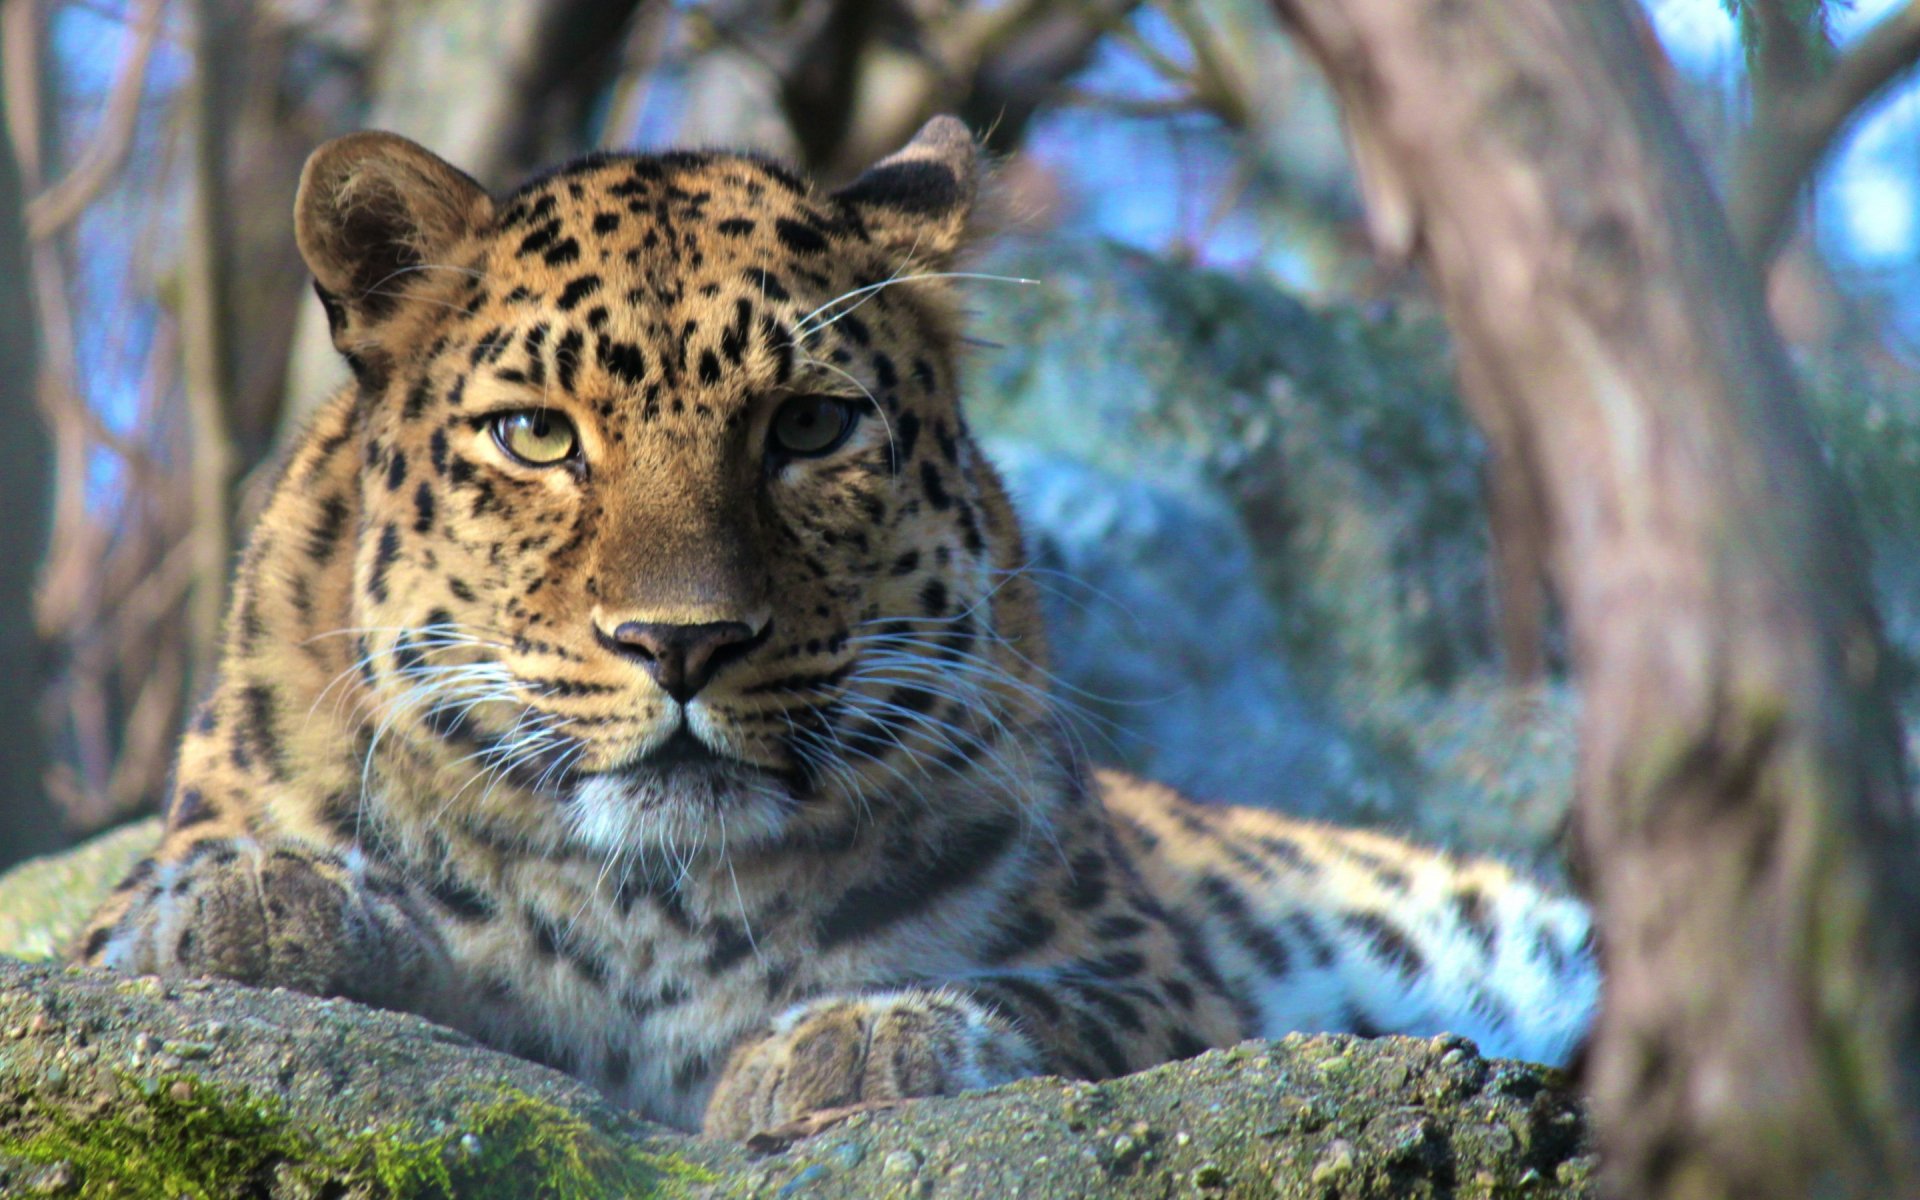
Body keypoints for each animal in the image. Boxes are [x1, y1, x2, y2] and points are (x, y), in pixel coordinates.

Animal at [74, 116, 1597, 1140]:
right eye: (536, 435)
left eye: (807, 428)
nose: (681, 643)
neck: (650, 906)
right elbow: (180, 908)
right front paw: (270, 899)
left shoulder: (1169, 976)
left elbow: (1044, 1001)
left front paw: (860, 1033)